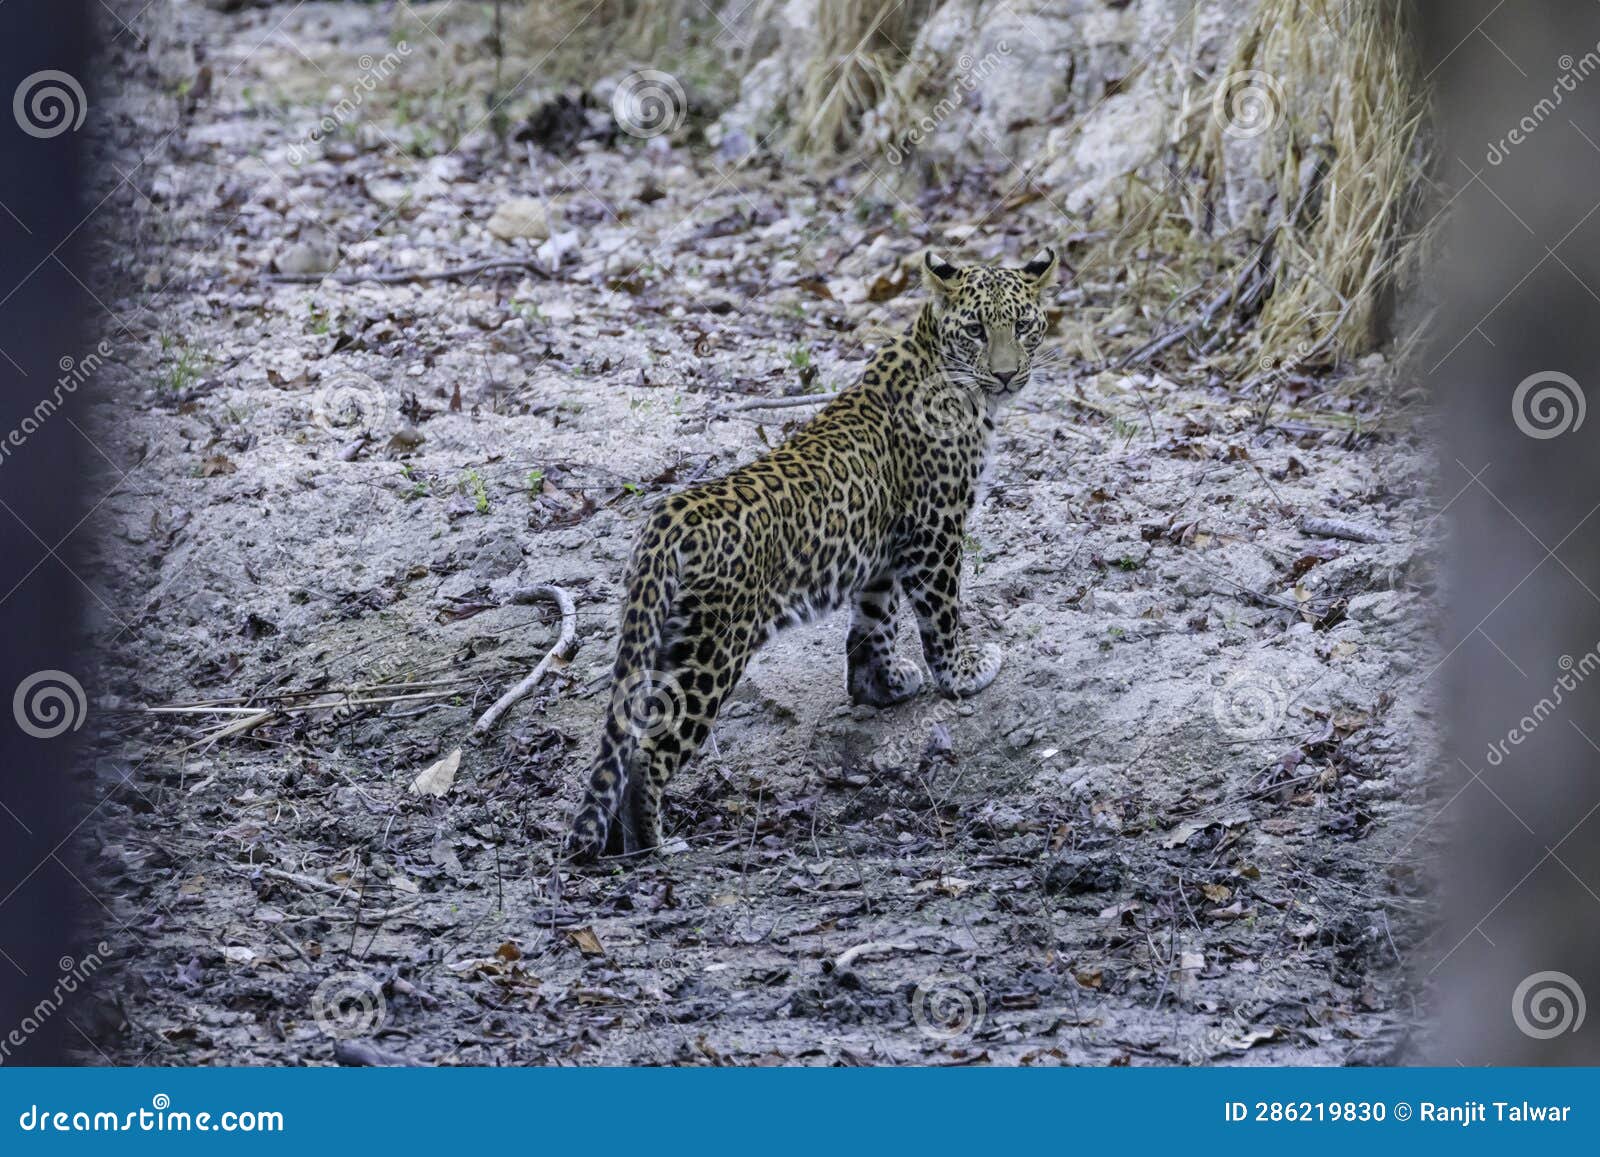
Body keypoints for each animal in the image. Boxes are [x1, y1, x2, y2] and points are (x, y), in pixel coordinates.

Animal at [566, 246, 1060, 861]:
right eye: (975, 330)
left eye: (1024, 325)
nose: (1006, 373)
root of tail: (667, 517)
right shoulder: (936, 529)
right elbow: (941, 615)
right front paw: (964, 675)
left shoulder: (883, 548)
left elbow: (873, 620)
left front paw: (881, 686)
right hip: (713, 650)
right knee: (650, 749)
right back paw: (655, 846)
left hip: (661, 636)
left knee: (629, 730)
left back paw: (619, 843)